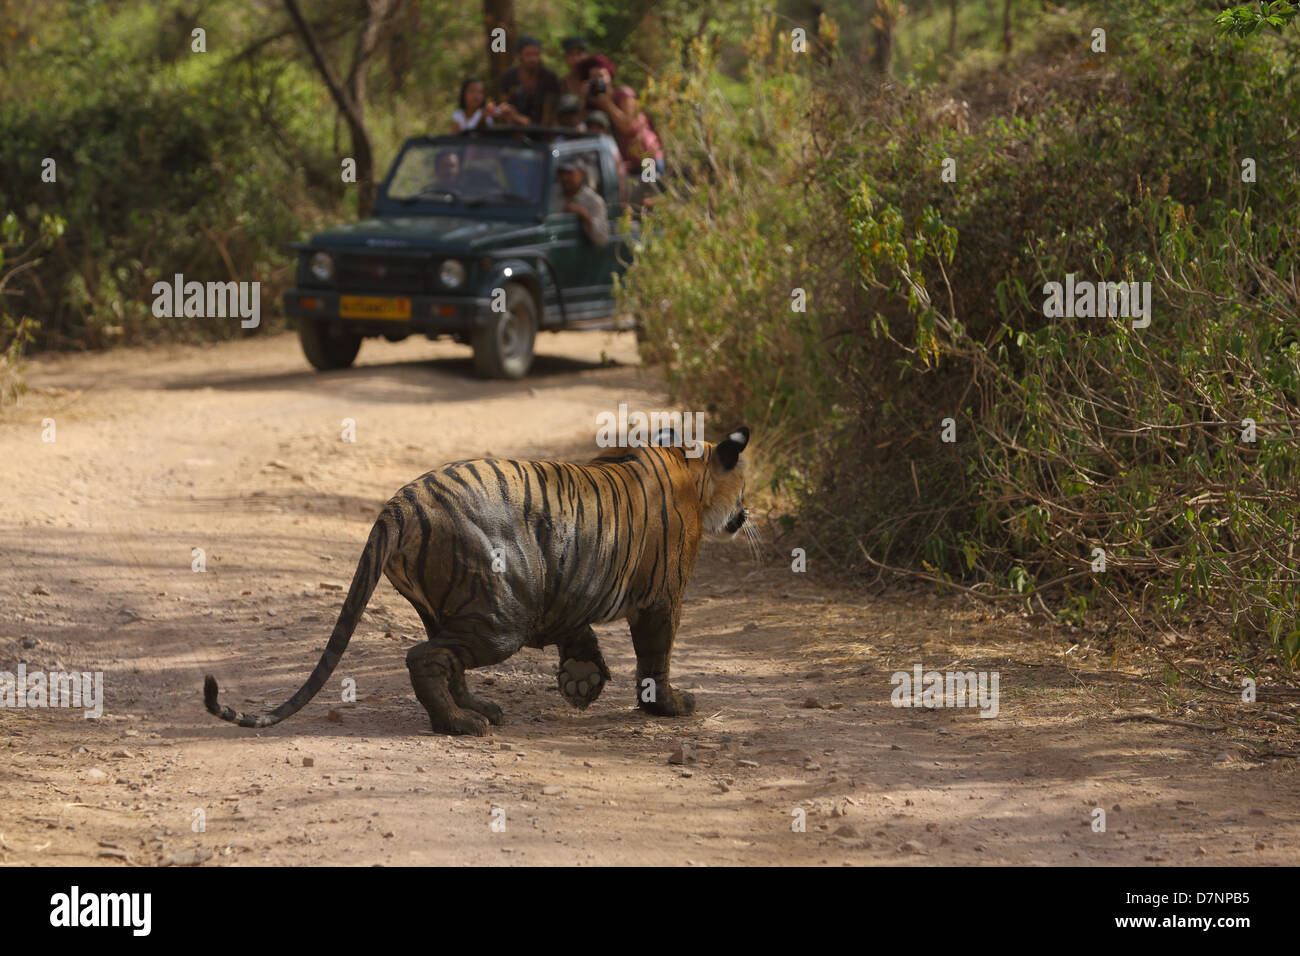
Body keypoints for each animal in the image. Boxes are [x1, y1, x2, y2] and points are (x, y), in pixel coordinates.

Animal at [204, 426, 750, 736]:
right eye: (745, 485)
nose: (747, 514)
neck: (686, 465)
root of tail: (400, 504)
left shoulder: (564, 585)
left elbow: (577, 631)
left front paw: (582, 680)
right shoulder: (663, 597)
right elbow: (656, 655)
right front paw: (670, 706)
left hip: (453, 606)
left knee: (446, 659)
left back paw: (478, 710)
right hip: (499, 618)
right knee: (424, 658)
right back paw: (460, 725)